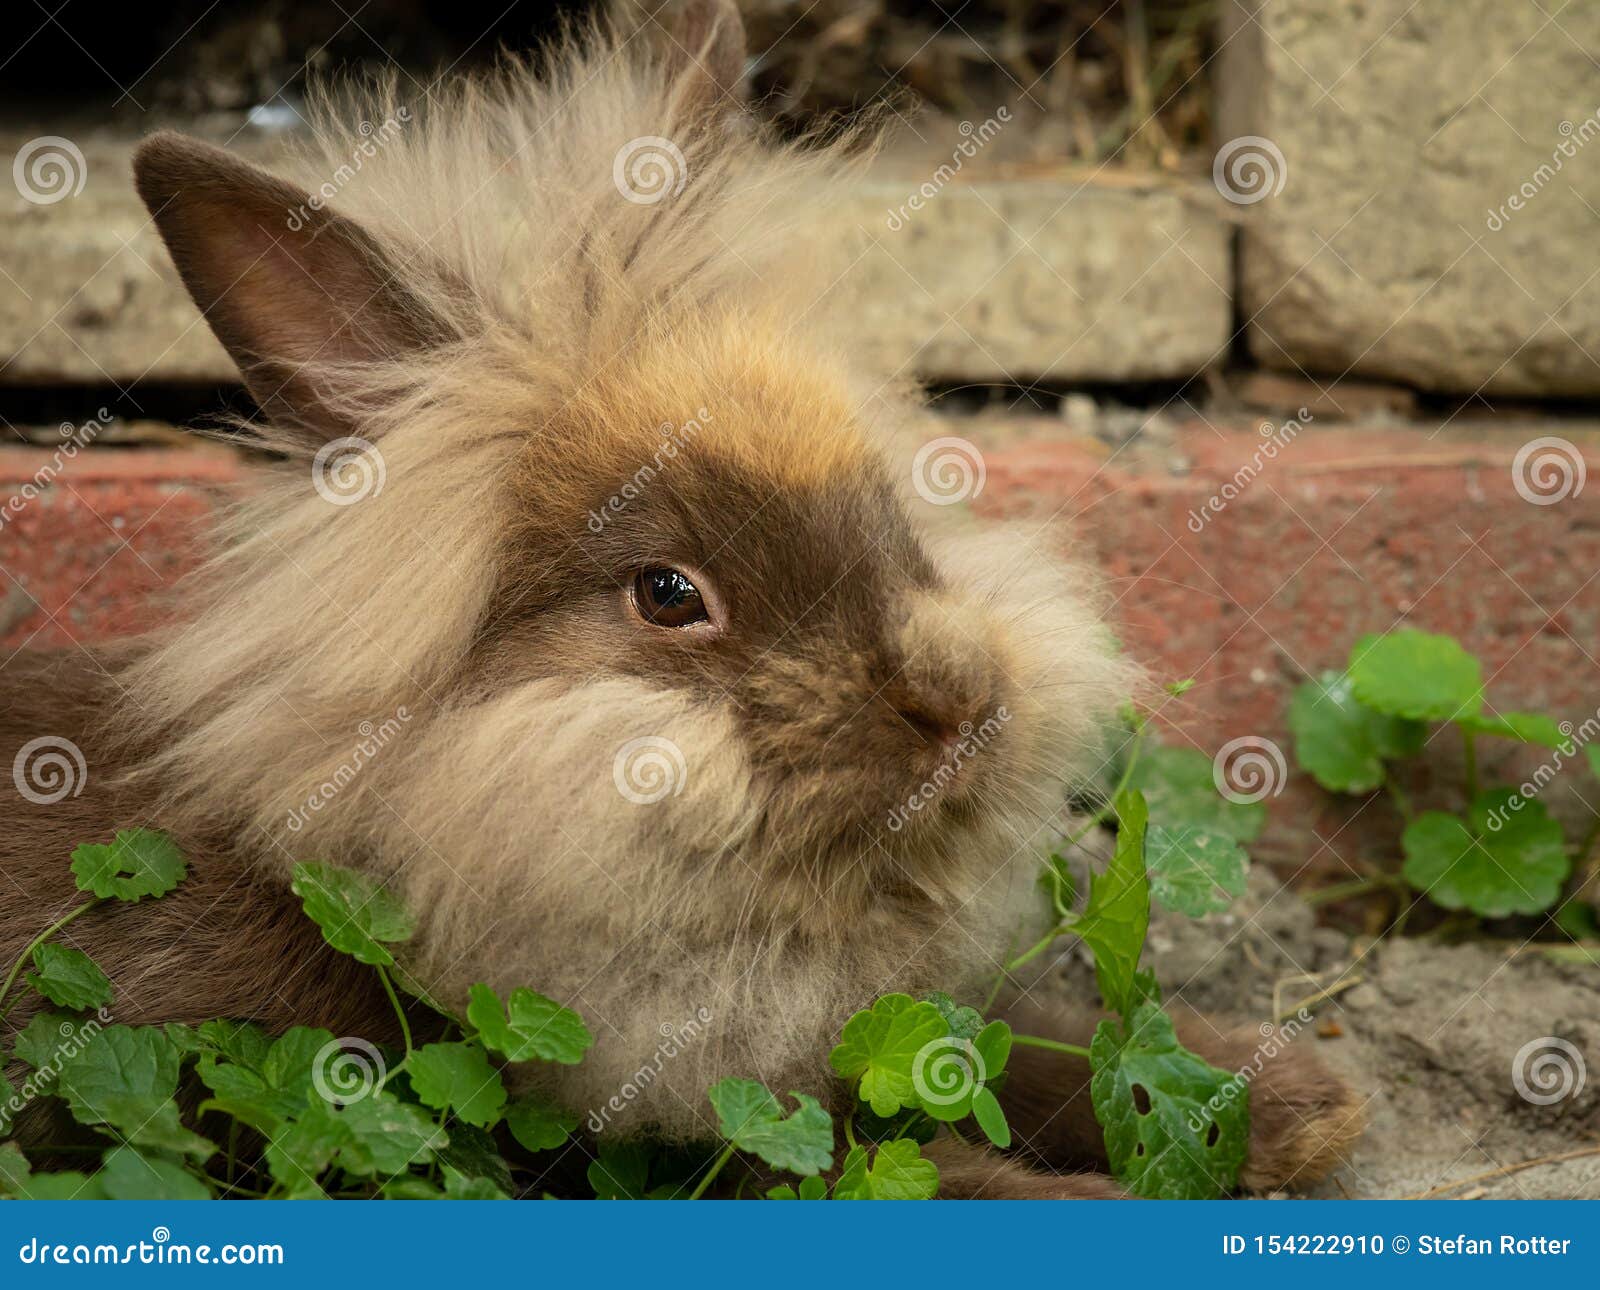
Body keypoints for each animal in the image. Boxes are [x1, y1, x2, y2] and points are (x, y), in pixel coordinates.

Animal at [0, 0, 1361, 1197]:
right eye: (667, 595)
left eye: (888, 509)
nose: (957, 702)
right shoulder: (697, 1130)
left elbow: (1026, 1043)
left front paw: (1296, 1104)